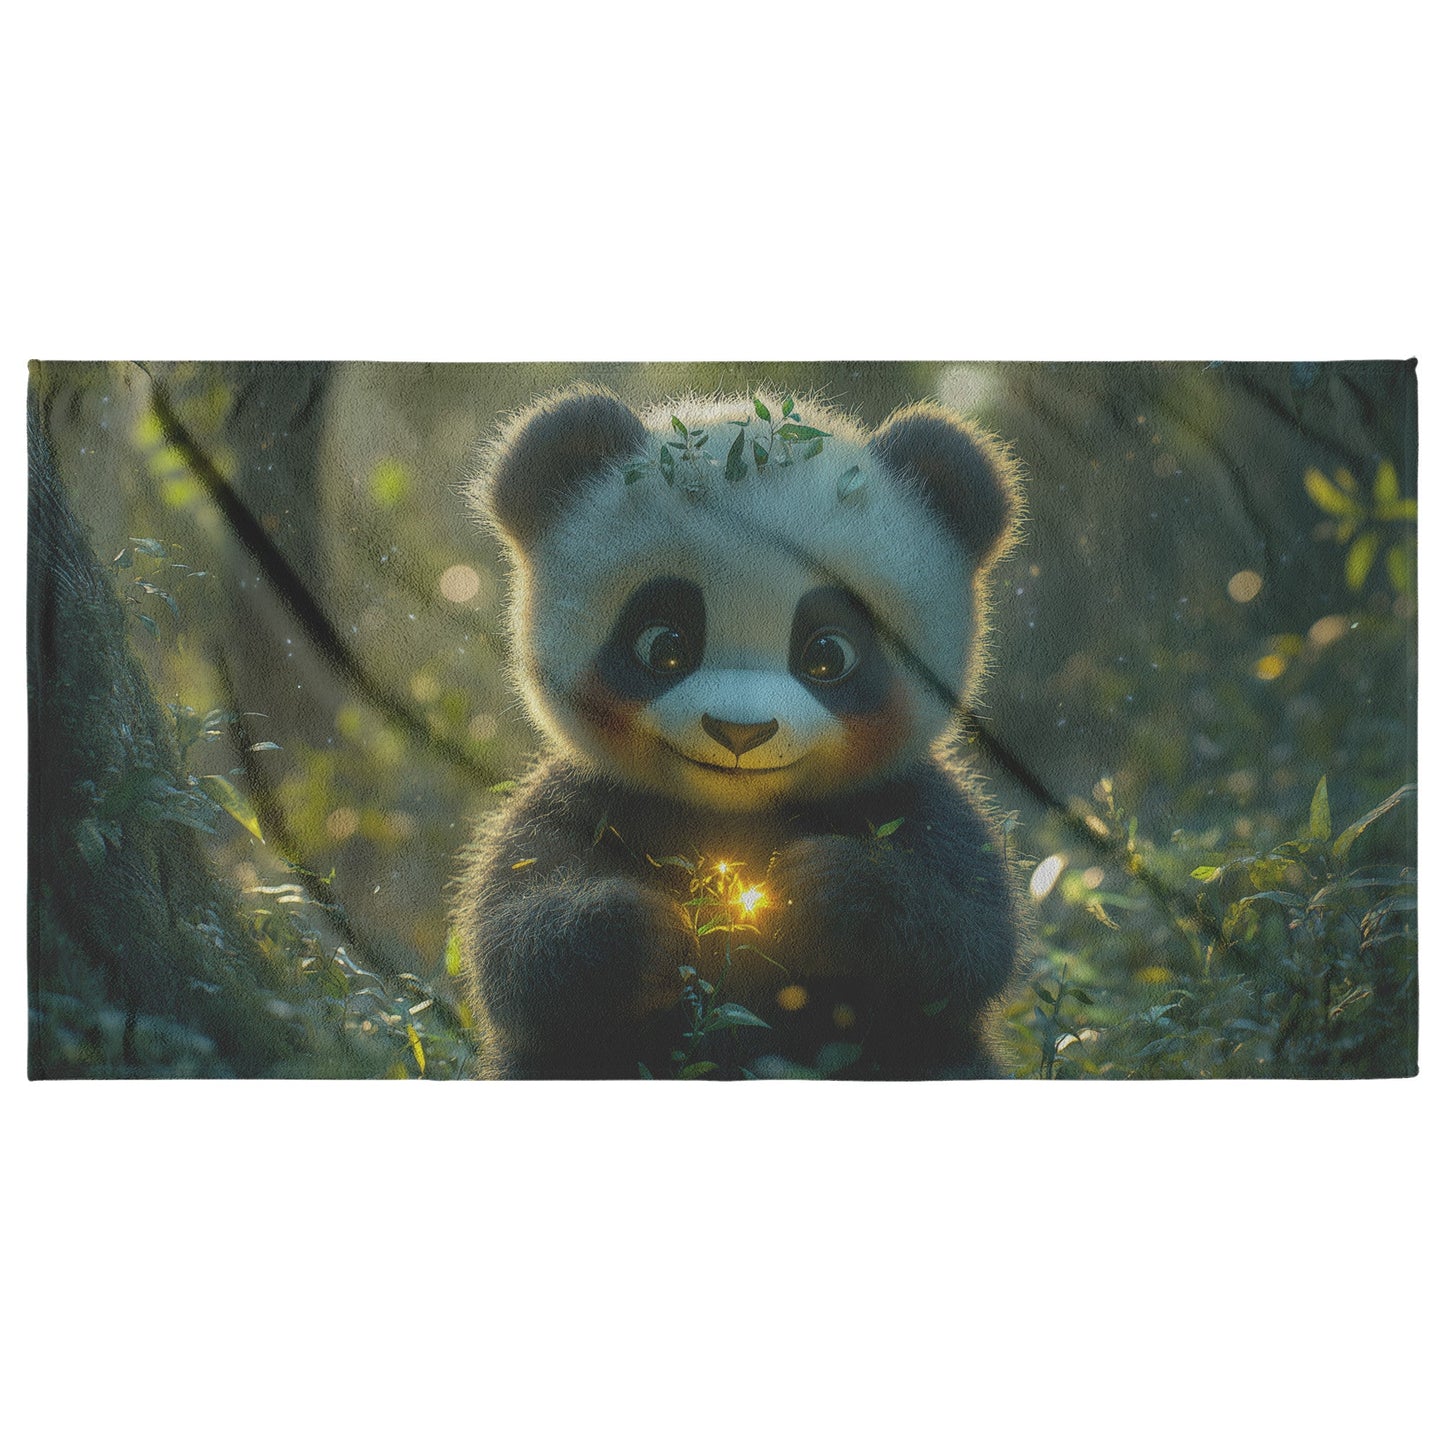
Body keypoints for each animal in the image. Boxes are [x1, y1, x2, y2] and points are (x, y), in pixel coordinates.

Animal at [453, 383, 1025, 1079]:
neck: (738, 819)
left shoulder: (911, 800)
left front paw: (821, 895)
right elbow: (513, 935)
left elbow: (970, 938)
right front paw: (644, 934)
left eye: (827, 653)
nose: (739, 732)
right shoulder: (583, 798)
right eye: (664, 644)